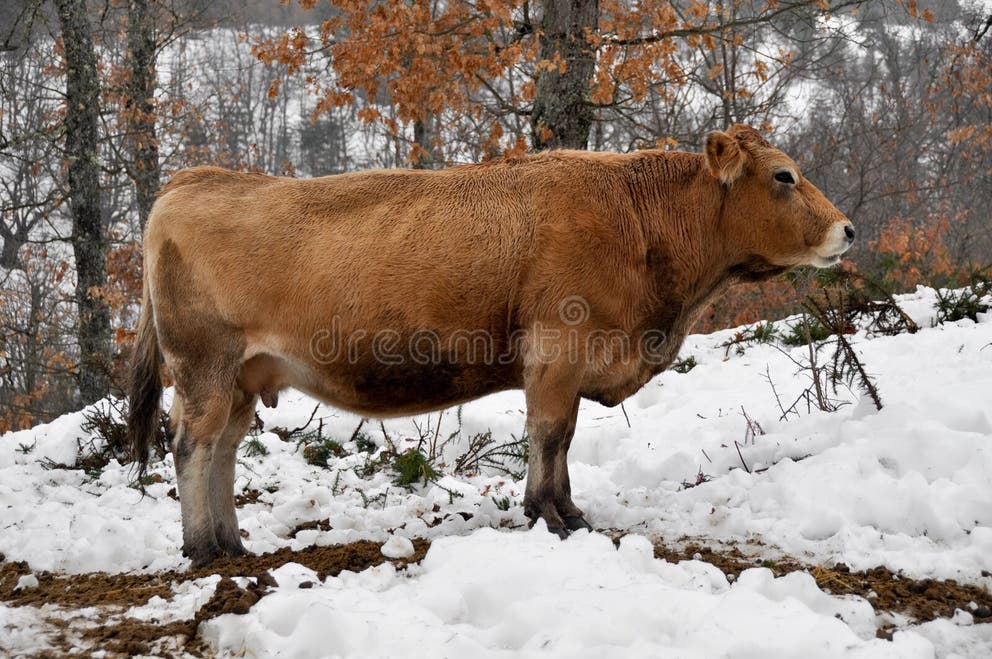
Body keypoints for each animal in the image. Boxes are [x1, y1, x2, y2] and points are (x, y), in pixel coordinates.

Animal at [127, 124, 854, 568]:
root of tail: (195, 179)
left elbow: (562, 439)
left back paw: (230, 542)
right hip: (205, 368)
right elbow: (550, 434)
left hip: (242, 379)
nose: (848, 230)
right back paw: (201, 546)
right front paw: (548, 515)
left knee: (222, 451)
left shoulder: (570, 364)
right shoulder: (558, 352)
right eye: (784, 176)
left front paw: (570, 511)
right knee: (192, 448)